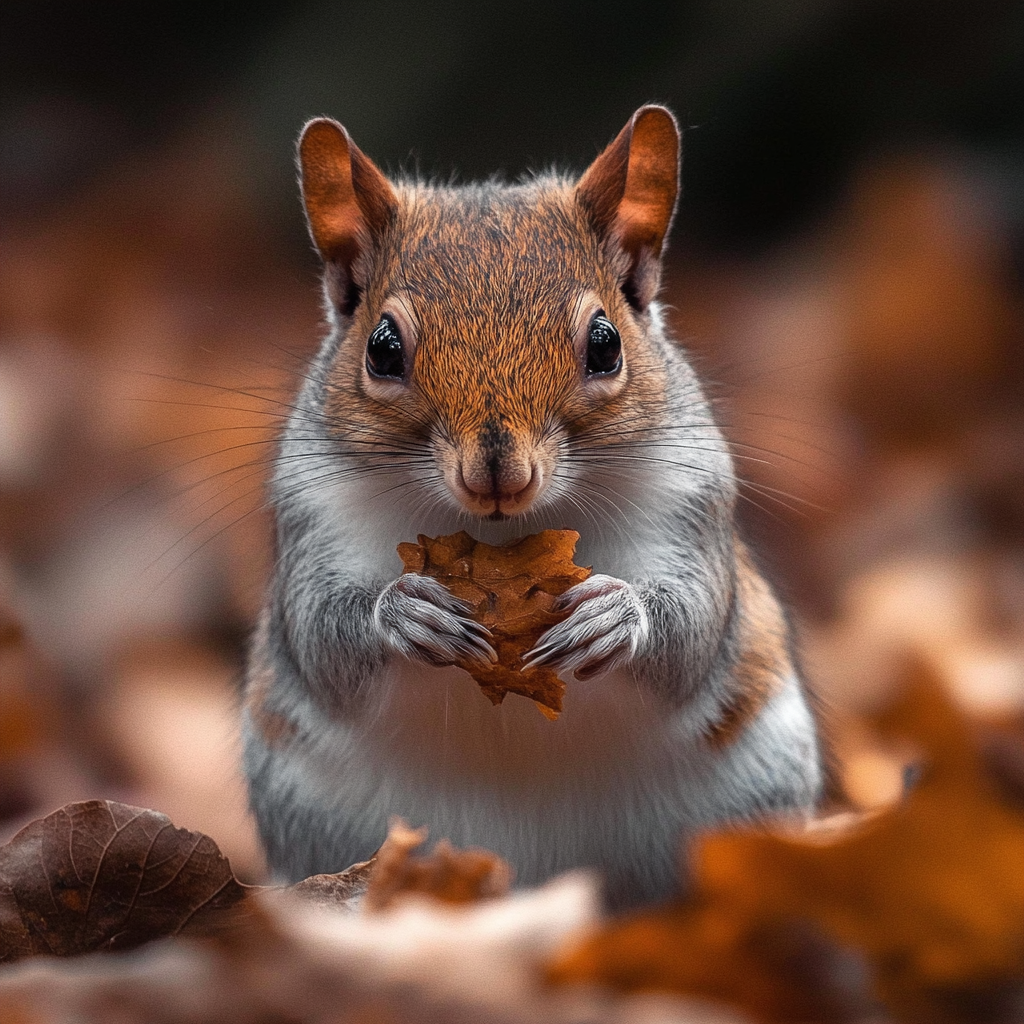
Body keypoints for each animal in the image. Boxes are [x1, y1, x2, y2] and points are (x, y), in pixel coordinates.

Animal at [241, 105, 825, 907]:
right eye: (382, 349)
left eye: (606, 344)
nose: (498, 473)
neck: (504, 534)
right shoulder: (313, 516)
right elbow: (322, 636)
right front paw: (406, 610)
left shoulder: (690, 507)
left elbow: (694, 626)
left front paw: (616, 616)